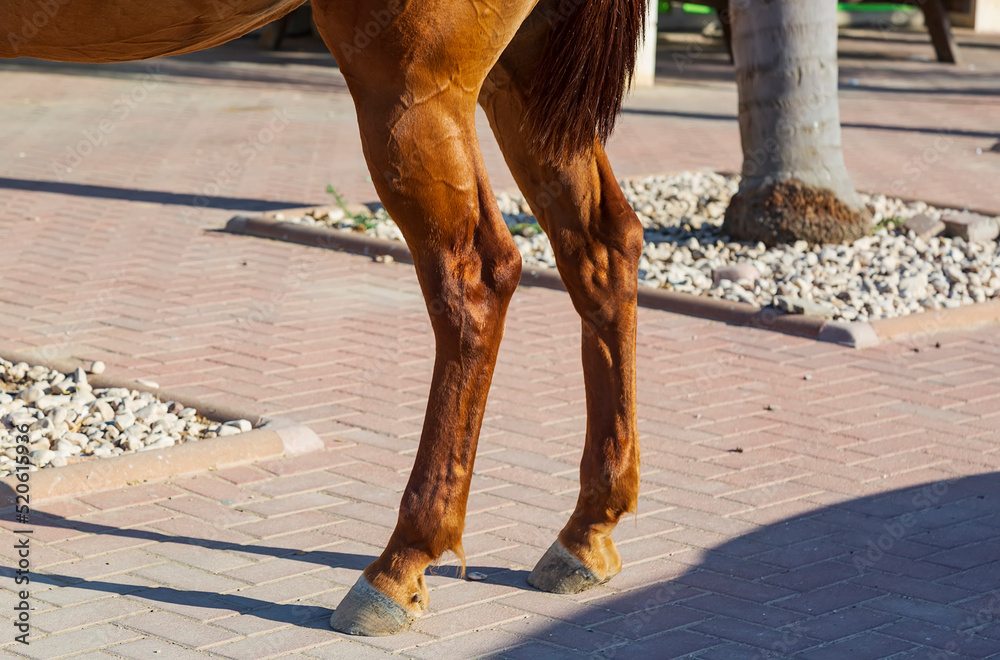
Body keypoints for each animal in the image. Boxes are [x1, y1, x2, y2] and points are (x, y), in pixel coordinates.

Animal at [2, 0, 646, 636]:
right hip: (532, 71)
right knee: (602, 247)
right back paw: (587, 532)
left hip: (413, 85)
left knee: (475, 280)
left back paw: (399, 564)